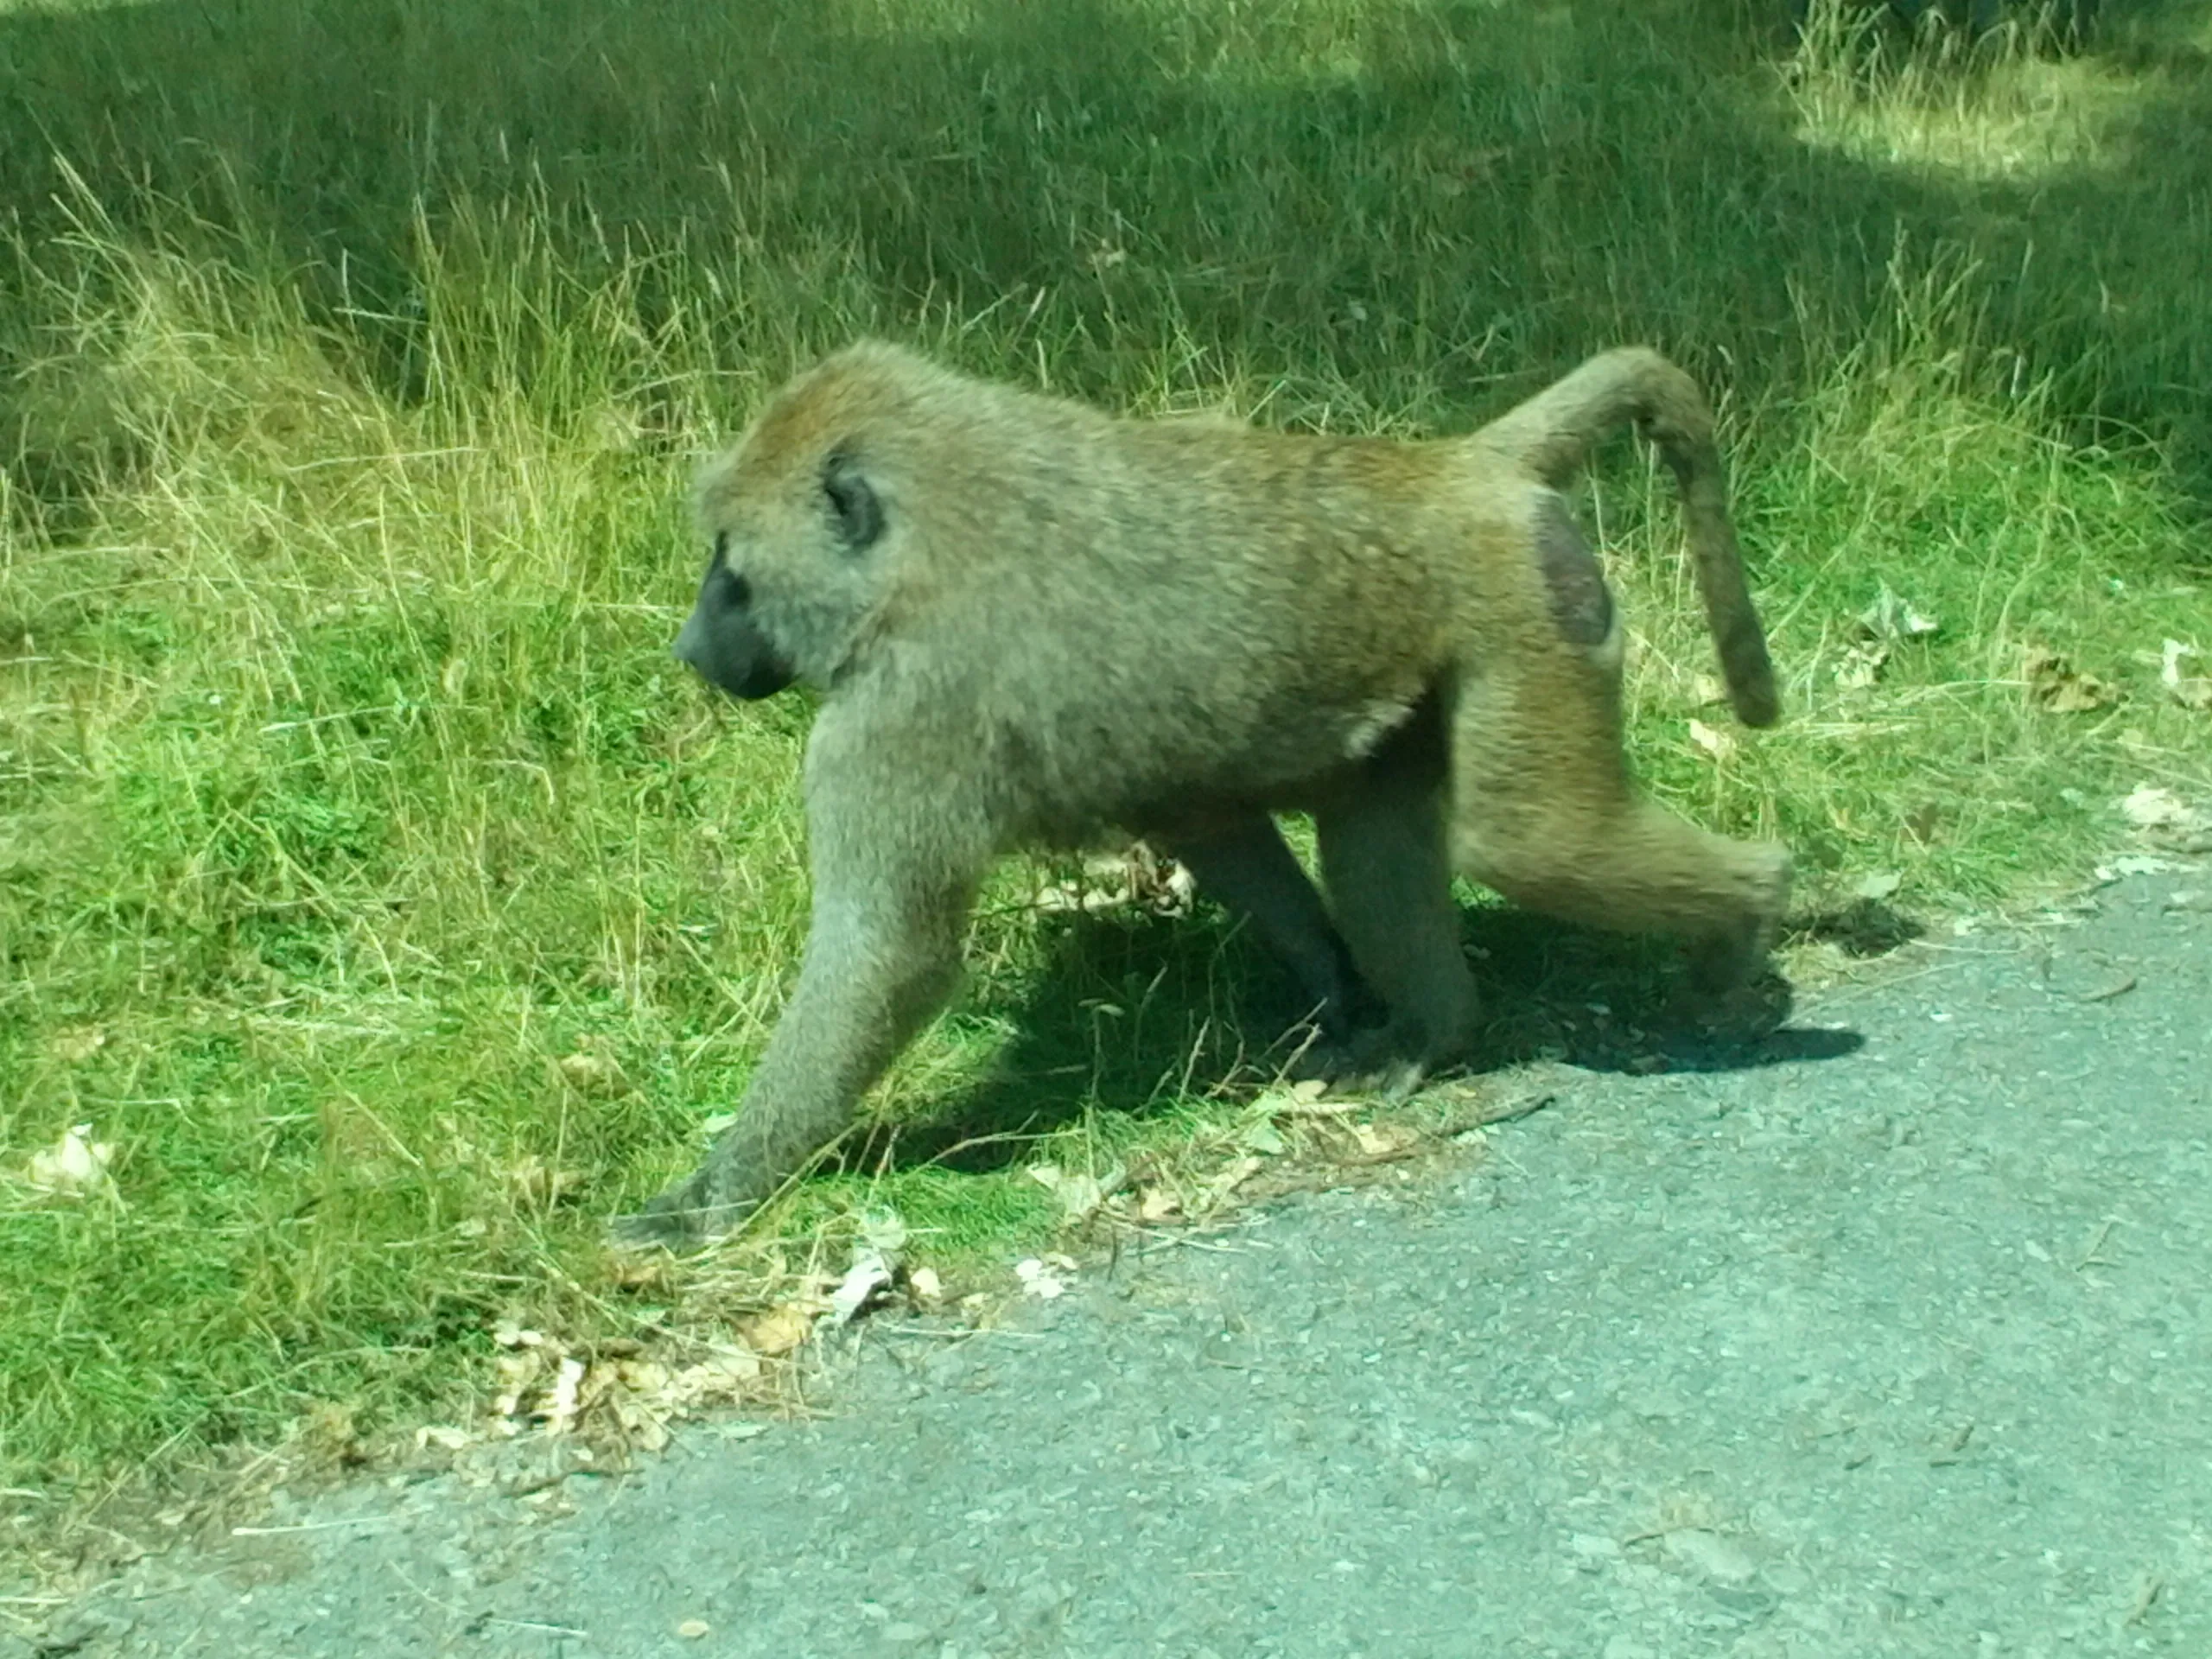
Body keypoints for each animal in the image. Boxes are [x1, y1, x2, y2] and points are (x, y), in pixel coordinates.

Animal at [619, 341, 1790, 1246]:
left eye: (729, 564)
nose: (688, 648)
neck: (943, 526)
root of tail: (1458, 470)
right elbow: (1205, 816)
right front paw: (1333, 984)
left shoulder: (895, 728)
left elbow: (886, 955)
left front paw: (708, 1198)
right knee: (1379, 835)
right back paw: (1430, 1033)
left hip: (1525, 616)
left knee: (1530, 840)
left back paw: (1748, 916)